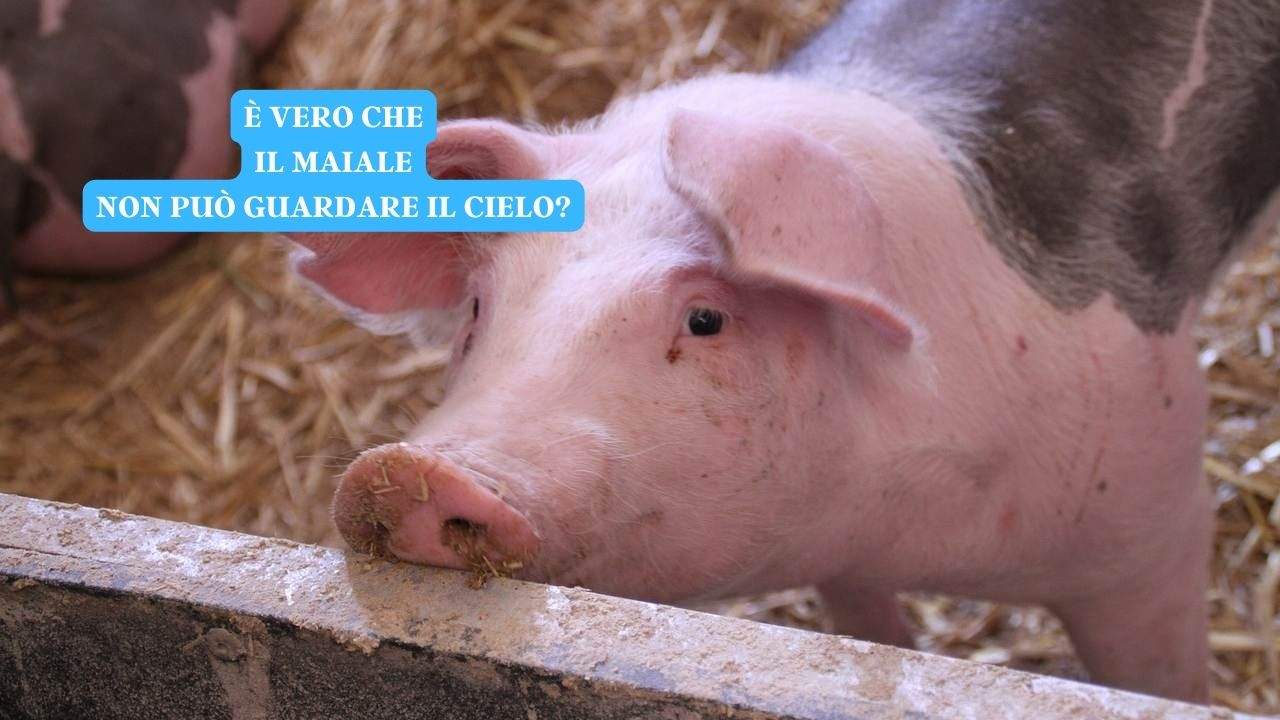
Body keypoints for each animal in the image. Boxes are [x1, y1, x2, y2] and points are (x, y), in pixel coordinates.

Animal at [286, 0, 1280, 703]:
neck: (892, 512)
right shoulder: (845, 564)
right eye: (479, 306)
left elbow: (1160, 679)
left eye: (706, 320)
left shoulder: (1152, 521)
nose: (403, 473)